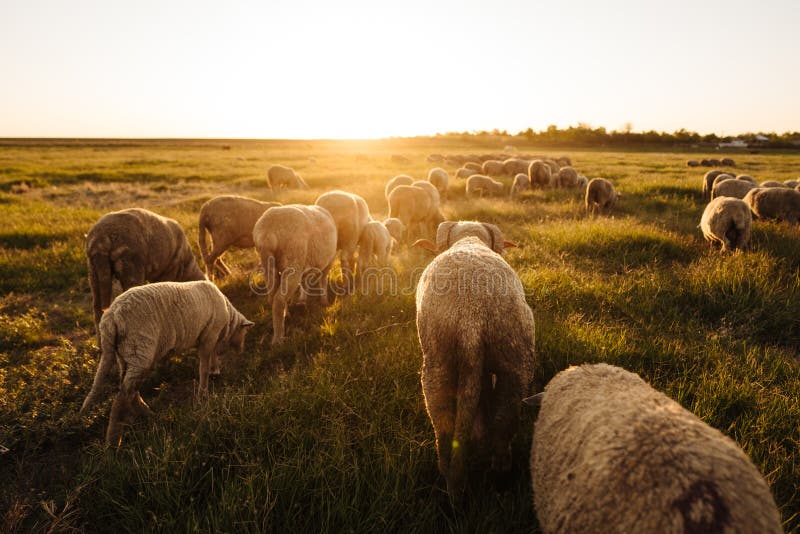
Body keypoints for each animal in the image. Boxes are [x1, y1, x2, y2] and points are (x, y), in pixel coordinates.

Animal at [80, 280, 254, 446]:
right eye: (245, 332)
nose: (241, 350)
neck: (228, 318)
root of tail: (111, 317)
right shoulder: (210, 335)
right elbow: (204, 367)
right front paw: (203, 393)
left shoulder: (208, 337)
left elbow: (213, 354)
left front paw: (214, 370)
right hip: (140, 349)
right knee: (123, 396)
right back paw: (113, 443)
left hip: (127, 354)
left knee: (129, 390)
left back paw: (149, 415)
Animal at [253, 204, 337, 345]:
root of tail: (267, 233)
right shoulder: (329, 261)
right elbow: (323, 280)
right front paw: (324, 301)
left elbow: (305, 283)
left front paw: (302, 301)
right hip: (293, 263)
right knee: (279, 300)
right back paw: (278, 339)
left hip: (269, 264)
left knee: (273, 297)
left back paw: (285, 316)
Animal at [416, 222, 533, 498]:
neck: (469, 239)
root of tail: (472, 316)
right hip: (515, 363)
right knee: (502, 425)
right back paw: (497, 479)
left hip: (438, 362)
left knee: (445, 430)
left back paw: (452, 482)